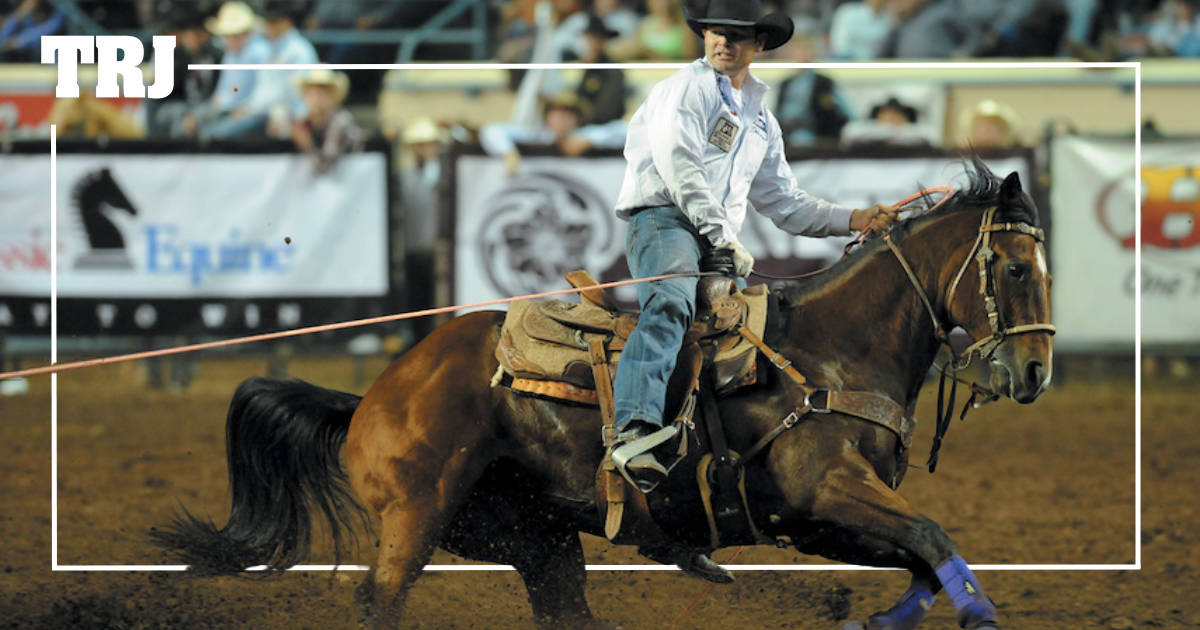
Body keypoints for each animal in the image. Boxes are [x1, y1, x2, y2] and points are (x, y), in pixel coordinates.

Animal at [152, 157, 1054, 630]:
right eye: (1015, 269)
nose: (1036, 374)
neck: (833, 355)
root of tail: (373, 396)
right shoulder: (826, 491)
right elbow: (933, 538)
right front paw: (979, 614)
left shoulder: (811, 523)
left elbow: (921, 560)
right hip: (415, 516)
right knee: (379, 601)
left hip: (536, 537)